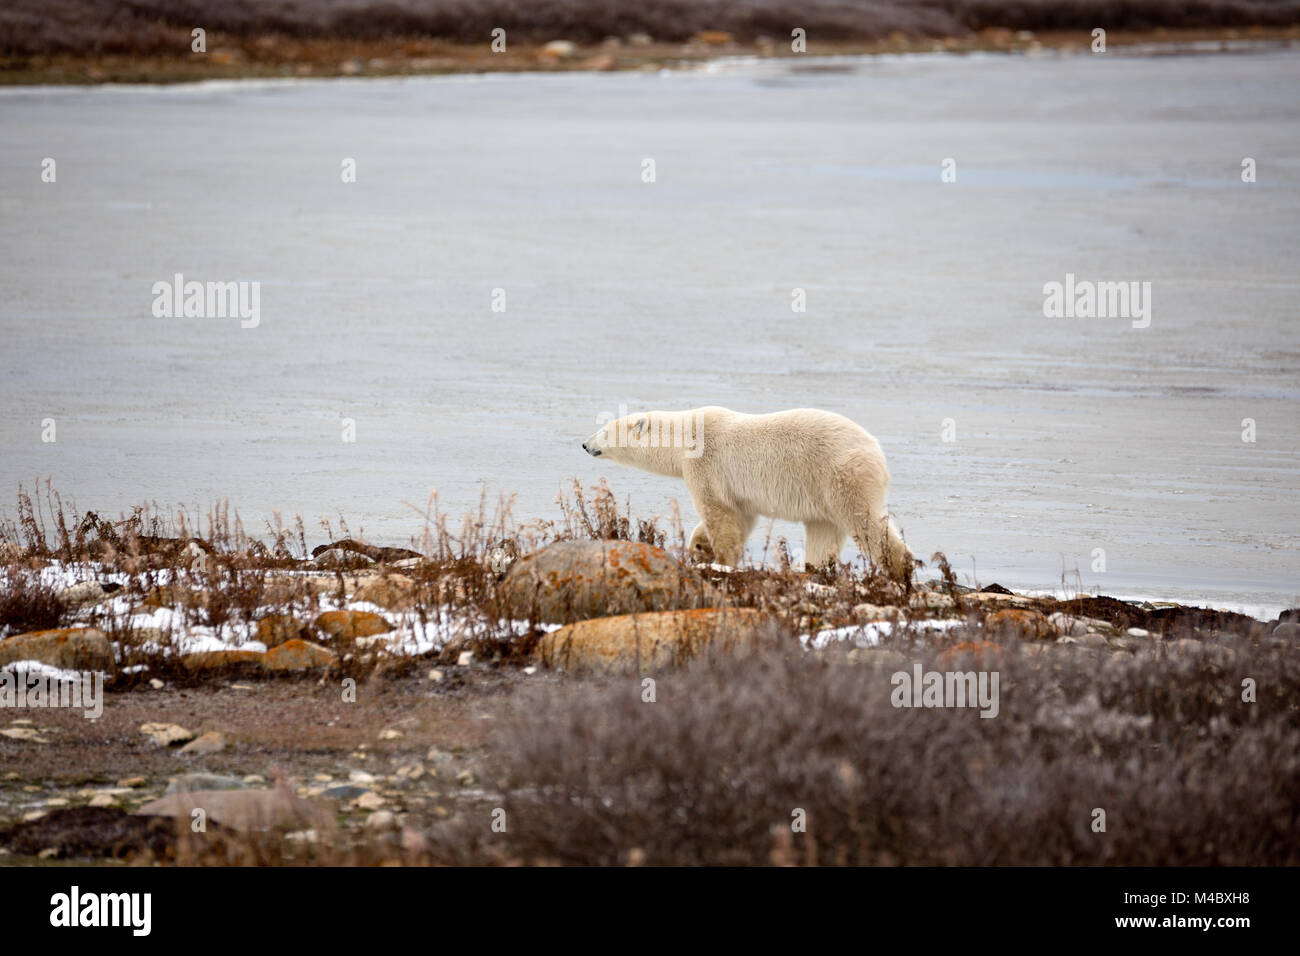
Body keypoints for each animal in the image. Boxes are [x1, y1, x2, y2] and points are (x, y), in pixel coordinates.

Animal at [582, 406, 916, 582]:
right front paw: (700, 546)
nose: (585, 444)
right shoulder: (737, 492)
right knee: (823, 532)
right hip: (823, 493)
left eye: (604, 430)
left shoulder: (705, 465)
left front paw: (721, 561)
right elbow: (741, 517)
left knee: (864, 521)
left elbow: (719, 513)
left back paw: (901, 568)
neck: (686, 435)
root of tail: (877, 452)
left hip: (839, 475)